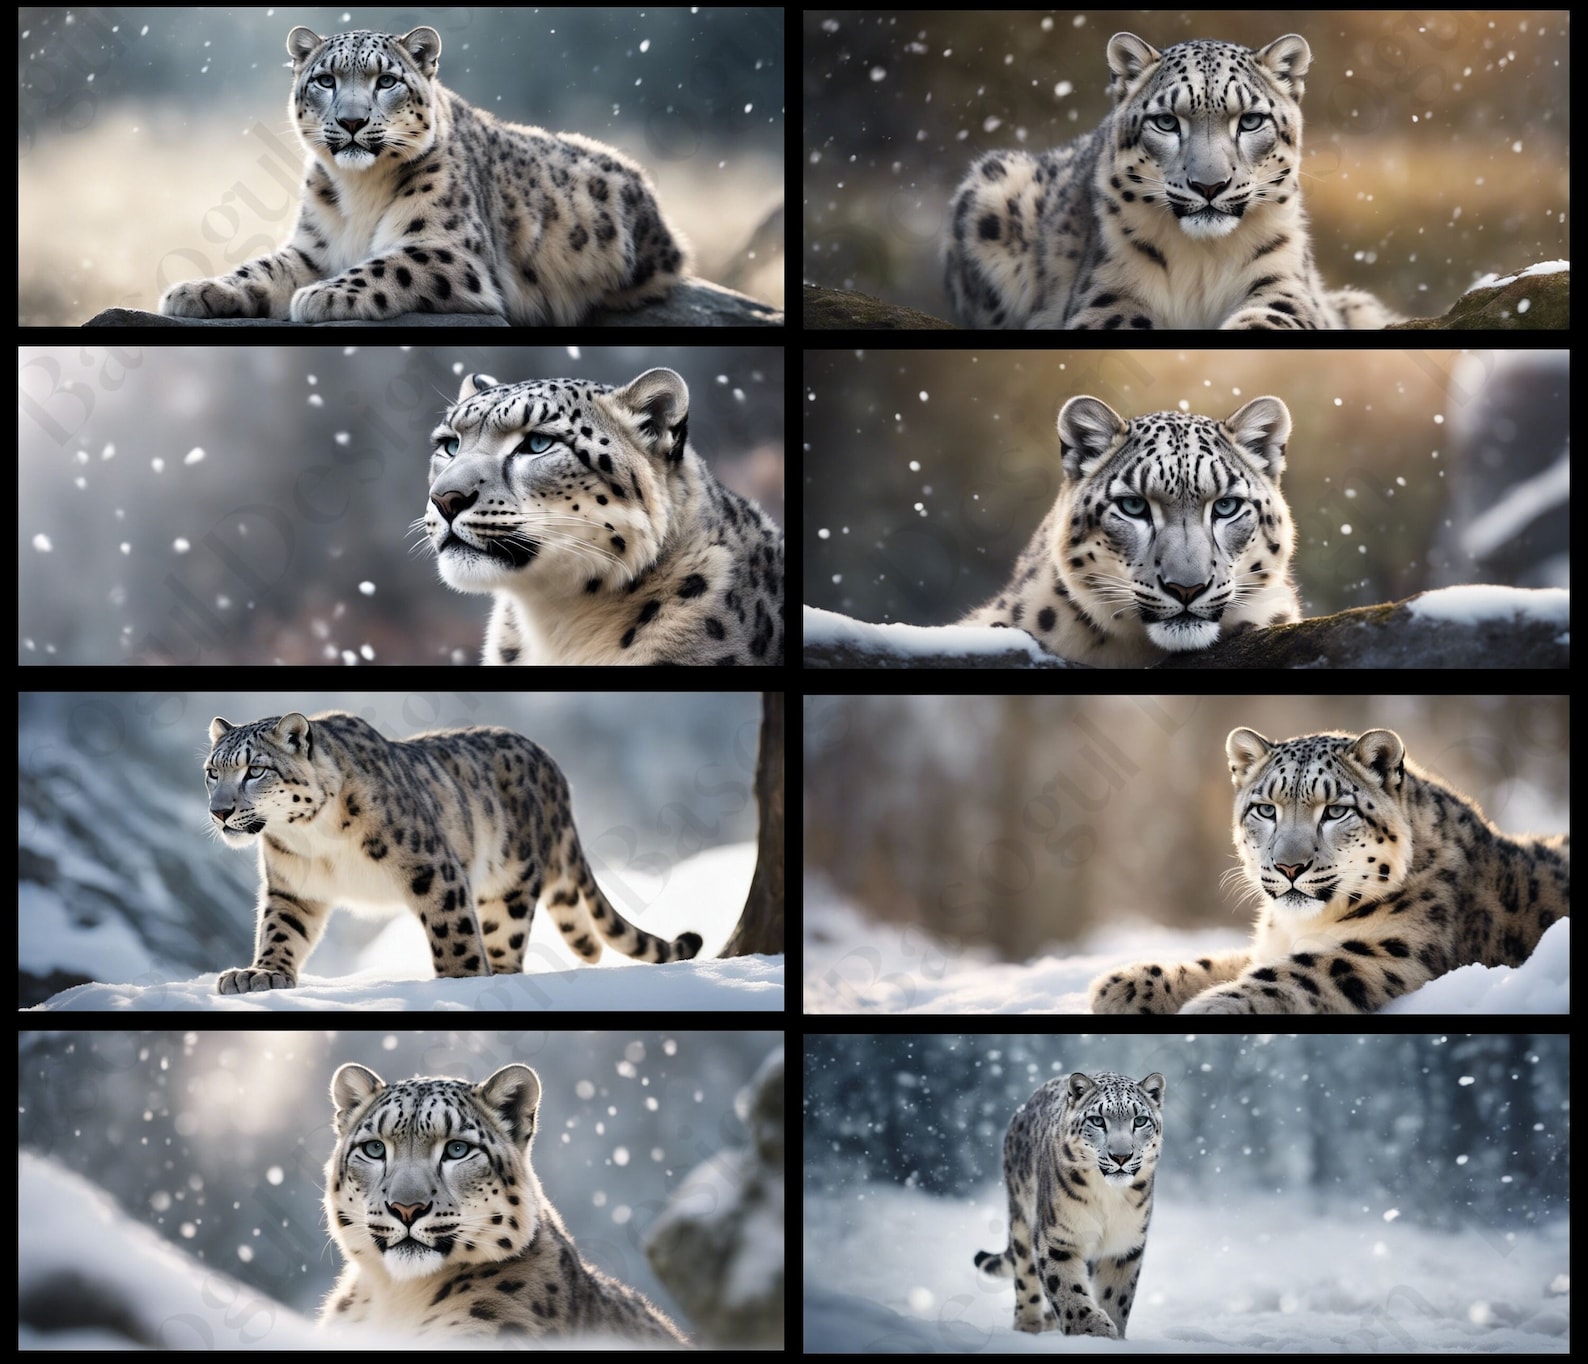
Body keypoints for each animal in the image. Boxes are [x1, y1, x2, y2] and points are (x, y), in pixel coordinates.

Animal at [158, 26, 686, 325]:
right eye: (325, 80)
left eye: (386, 80)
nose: (352, 121)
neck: (360, 190)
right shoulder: (314, 248)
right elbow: (262, 268)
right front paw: (198, 290)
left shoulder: (449, 250)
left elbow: (388, 265)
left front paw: (320, 296)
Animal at [206, 711, 701, 994]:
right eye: (212, 771)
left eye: (255, 770)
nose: (219, 811)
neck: (313, 836)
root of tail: (555, 771)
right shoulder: (292, 886)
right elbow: (280, 930)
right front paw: (261, 974)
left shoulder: (432, 868)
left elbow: (453, 930)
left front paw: (461, 983)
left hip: (509, 881)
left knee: (505, 937)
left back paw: (497, 974)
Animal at [944, 32, 1399, 329]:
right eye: (1166, 121)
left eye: (1251, 120)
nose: (1209, 186)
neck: (1204, 258)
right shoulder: (1108, 290)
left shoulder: (1284, 280)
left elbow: (1270, 317)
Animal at [975, 1072, 1165, 1339]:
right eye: (1097, 1120)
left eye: (1139, 1120)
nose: (1121, 1156)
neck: (1109, 1197)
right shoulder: (1058, 1236)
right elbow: (1065, 1286)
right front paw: (1091, 1330)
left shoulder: (1125, 1242)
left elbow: (1117, 1293)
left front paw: (1114, 1332)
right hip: (1021, 1218)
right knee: (1025, 1275)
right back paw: (1027, 1326)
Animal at [1091, 728, 1570, 1014]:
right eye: (1266, 809)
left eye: (1336, 810)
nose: (1289, 865)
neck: (1300, 926)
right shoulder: (1266, 947)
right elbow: (1226, 961)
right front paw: (1122, 984)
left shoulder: (1393, 950)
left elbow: (1294, 972)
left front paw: (1210, 1007)